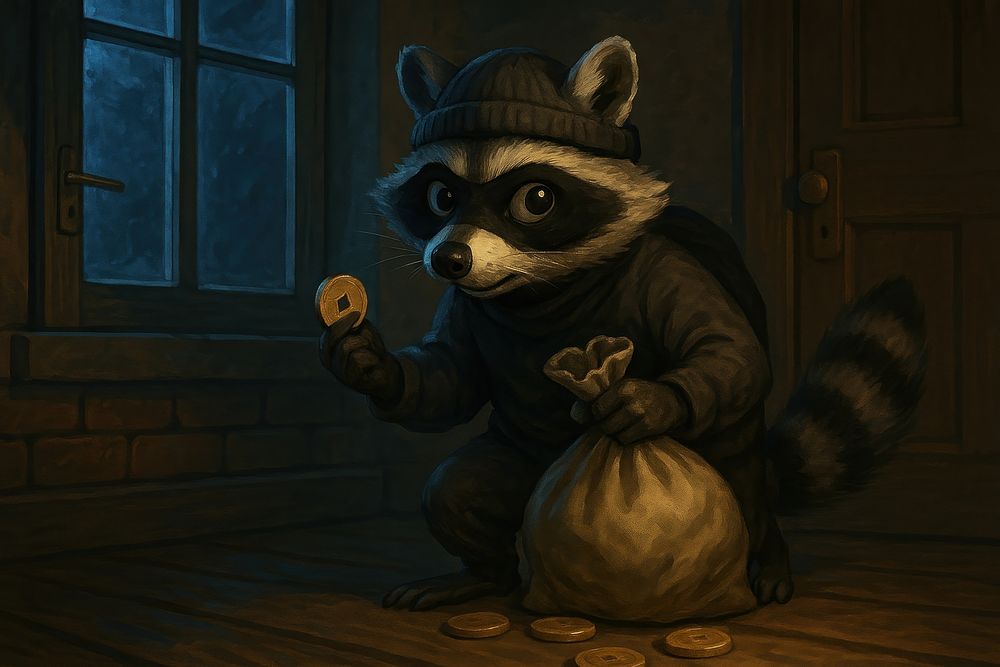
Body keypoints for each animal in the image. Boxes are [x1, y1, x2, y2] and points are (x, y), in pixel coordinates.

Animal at [320, 36, 927, 612]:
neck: (544, 291)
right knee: (457, 490)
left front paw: (652, 399)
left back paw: (770, 556)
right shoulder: (467, 308)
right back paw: (484, 575)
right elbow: (451, 379)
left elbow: (728, 348)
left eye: (535, 200)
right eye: (441, 197)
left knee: (749, 497)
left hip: (734, 447)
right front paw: (375, 367)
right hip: (518, 457)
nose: (449, 260)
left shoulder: (665, 270)